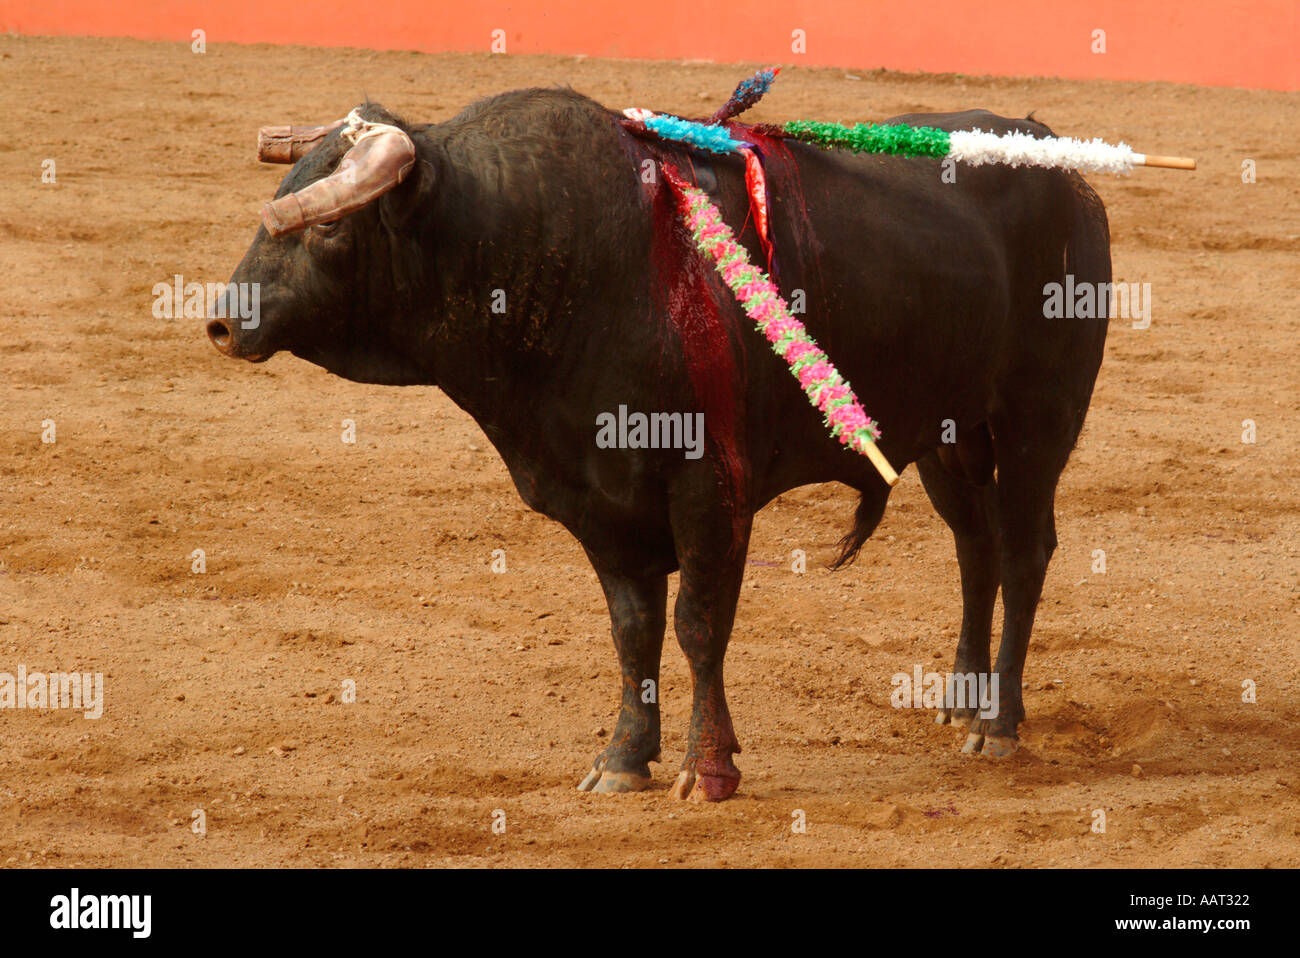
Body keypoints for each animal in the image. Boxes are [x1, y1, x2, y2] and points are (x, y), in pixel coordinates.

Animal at [207, 87, 1111, 801]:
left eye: (329, 232)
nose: (223, 321)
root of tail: (1064, 171)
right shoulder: (598, 502)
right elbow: (632, 629)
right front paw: (622, 760)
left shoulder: (710, 490)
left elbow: (698, 624)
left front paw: (707, 769)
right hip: (949, 438)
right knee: (975, 548)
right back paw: (963, 697)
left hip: (1038, 420)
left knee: (1024, 550)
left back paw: (999, 723)